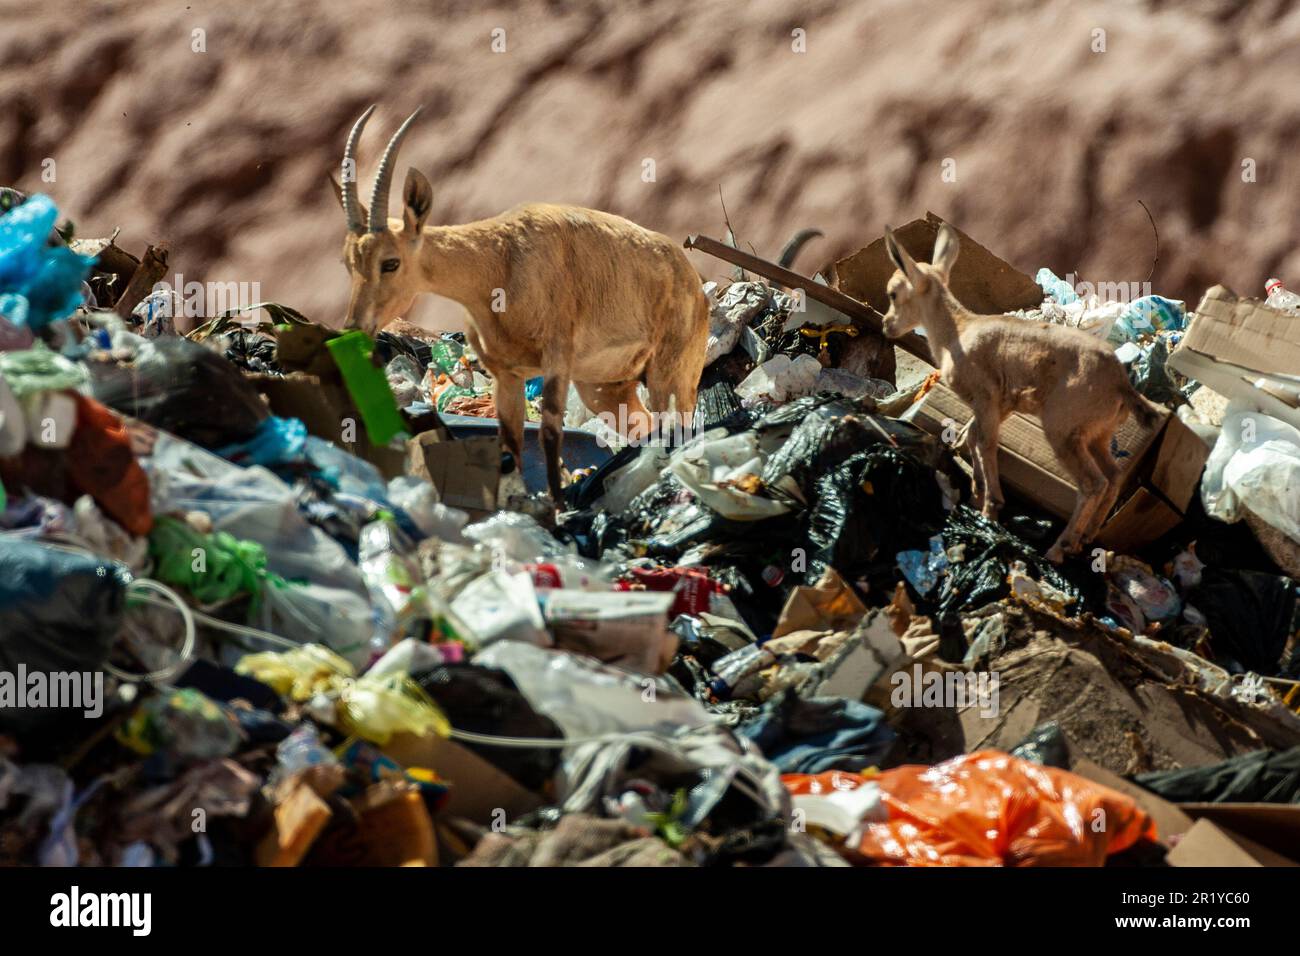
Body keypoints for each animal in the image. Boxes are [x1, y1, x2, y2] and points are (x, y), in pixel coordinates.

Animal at [329, 106, 710, 503]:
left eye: (390, 262)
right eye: (348, 262)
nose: (355, 326)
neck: (499, 261)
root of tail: (694, 281)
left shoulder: (556, 359)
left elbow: (549, 433)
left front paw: (558, 505)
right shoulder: (506, 374)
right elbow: (510, 443)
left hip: (672, 373)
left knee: (676, 423)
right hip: (606, 387)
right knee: (642, 426)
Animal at [880, 222, 1161, 562]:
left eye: (894, 293)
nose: (886, 326)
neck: (957, 332)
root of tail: (1120, 383)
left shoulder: (986, 398)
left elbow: (985, 443)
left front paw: (991, 509)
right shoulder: (1000, 405)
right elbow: (971, 437)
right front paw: (977, 494)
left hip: (1063, 431)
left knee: (1092, 484)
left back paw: (1059, 548)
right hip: (1098, 436)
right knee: (1114, 477)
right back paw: (1085, 538)